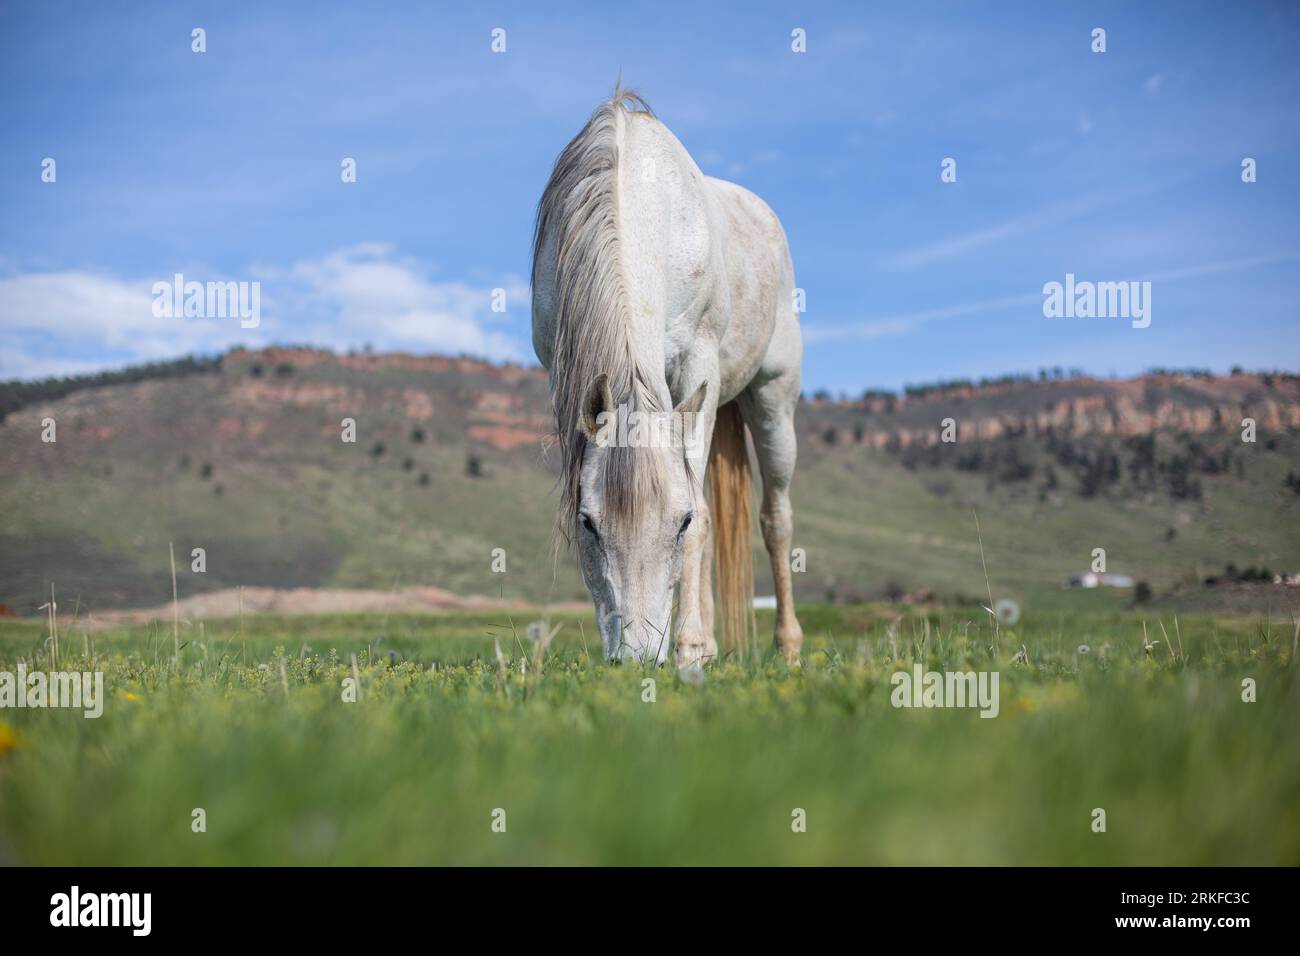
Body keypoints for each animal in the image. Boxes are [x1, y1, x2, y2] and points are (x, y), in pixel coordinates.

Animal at [531, 86, 804, 667]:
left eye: (676, 523)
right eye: (588, 523)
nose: (636, 658)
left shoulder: (697, 369)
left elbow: (702, 515)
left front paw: (689, 647)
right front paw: (694, 647)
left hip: (774, 402)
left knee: (776, 519)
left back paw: (785, 648)